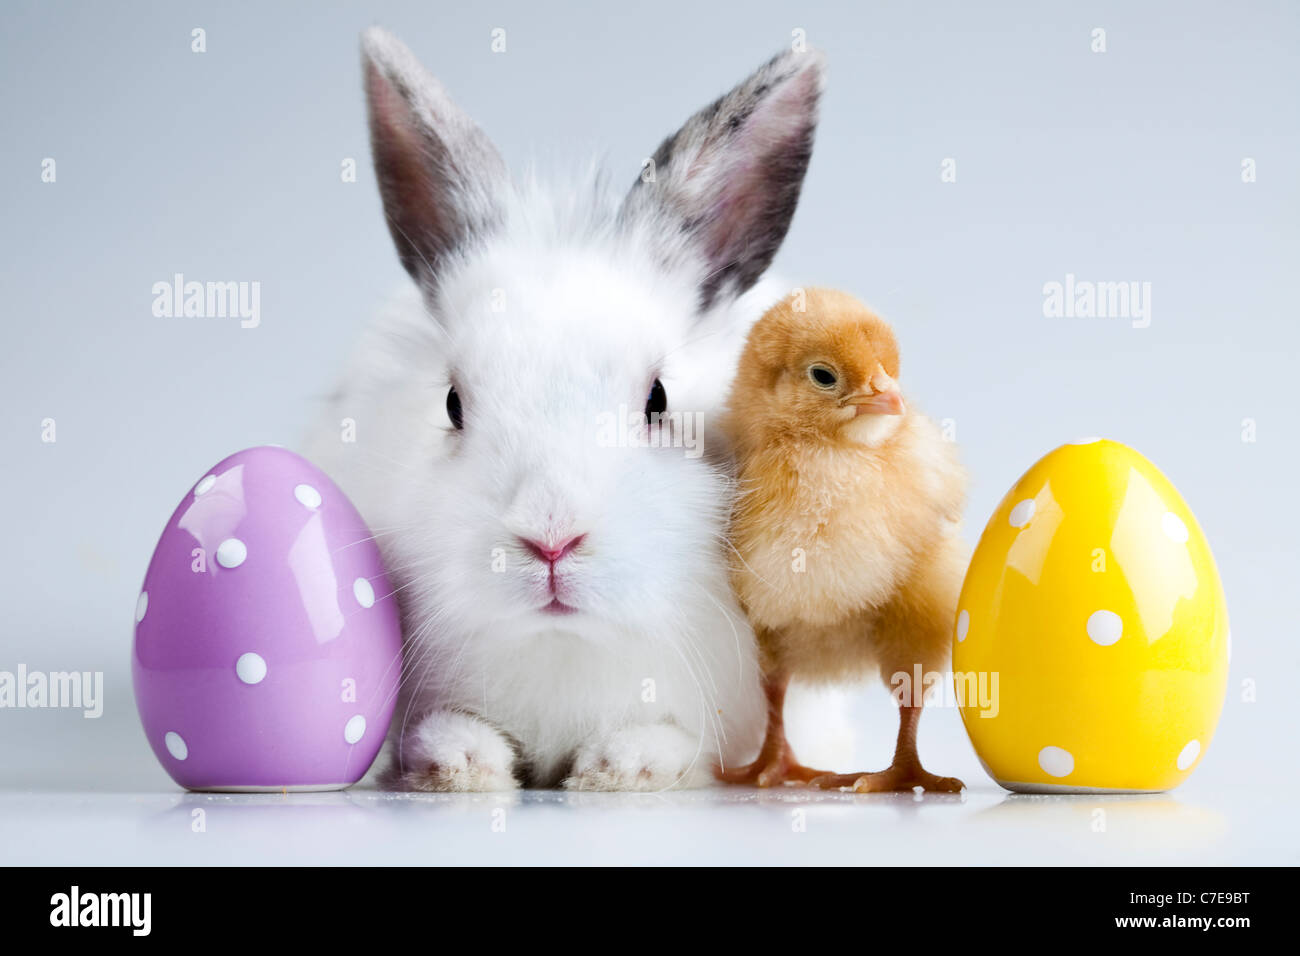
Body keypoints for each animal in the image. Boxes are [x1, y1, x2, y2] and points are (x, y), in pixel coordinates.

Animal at [304, 27, 825, 790]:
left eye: (659, 400)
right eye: (453, 404)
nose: (551, 540)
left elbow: (680, 745)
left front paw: (619, 768)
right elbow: (440, 732)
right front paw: (462, 763)